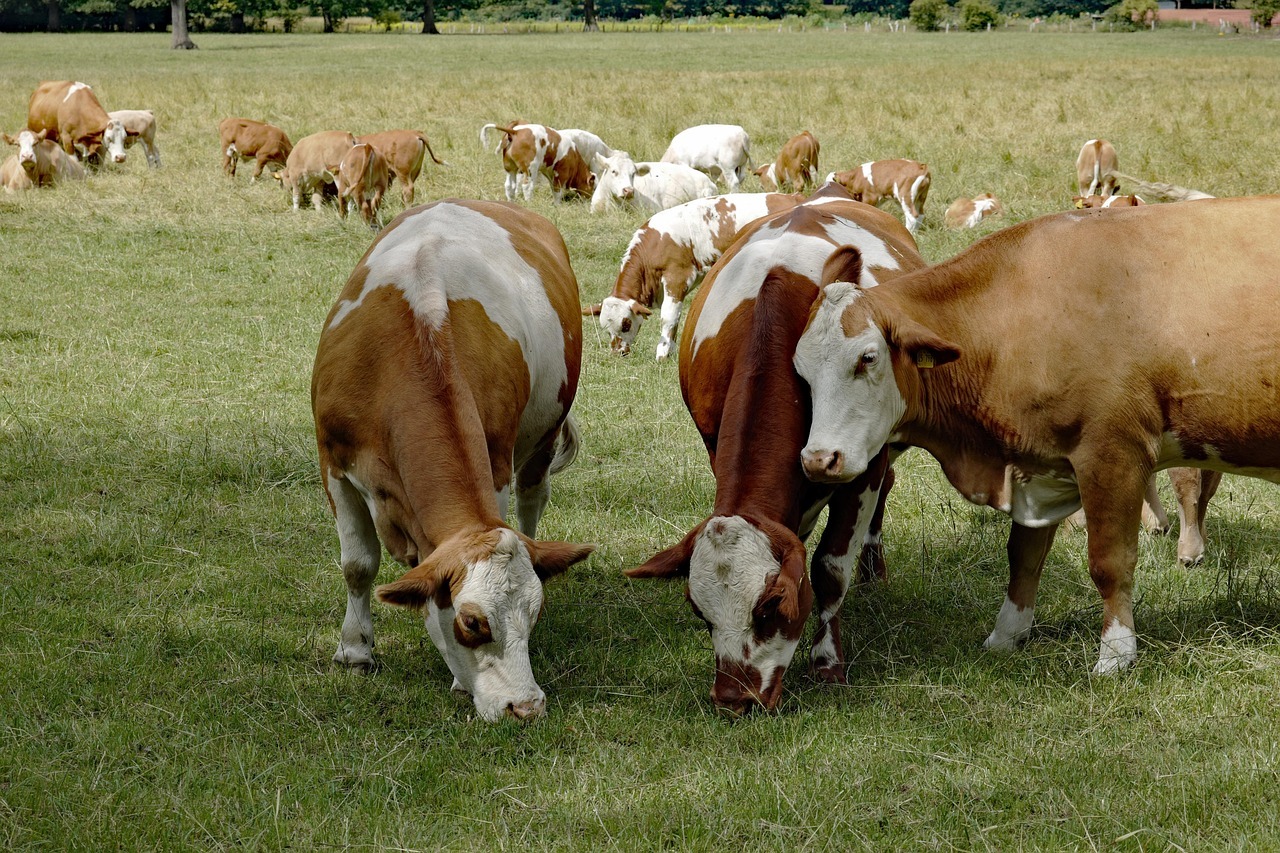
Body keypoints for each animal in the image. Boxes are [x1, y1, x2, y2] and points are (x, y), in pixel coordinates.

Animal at [312, 198, 594, 722]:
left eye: (534, 614)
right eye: (473, 622)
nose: (526, 707)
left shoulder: (496, 463)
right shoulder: (333, 463)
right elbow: (358, 564)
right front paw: (355, 649)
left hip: (545, 432)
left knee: (533, 497)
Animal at [583, 192, 805, 359]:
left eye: (626, 324)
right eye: (605, 327)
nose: (618, 352)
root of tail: (793, 197)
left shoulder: (676, 279)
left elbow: (668, 318)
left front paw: (662, 354)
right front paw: (671, 351)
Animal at [625, 189, 927, 714]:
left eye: (770, 608)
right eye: (700, 613)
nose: (733, 698)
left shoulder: (860, 466)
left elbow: (829, 567)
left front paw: (827, 662)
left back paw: (873, 566)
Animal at [794, 196, 1280, 676]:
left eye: (867, 358)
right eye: (800, 369)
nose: (819, 459)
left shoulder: (1112, 456)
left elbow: (1110, 562)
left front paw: (1115, 653)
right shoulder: (1038, 467)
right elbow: (1023, 558)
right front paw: (1007, 635)